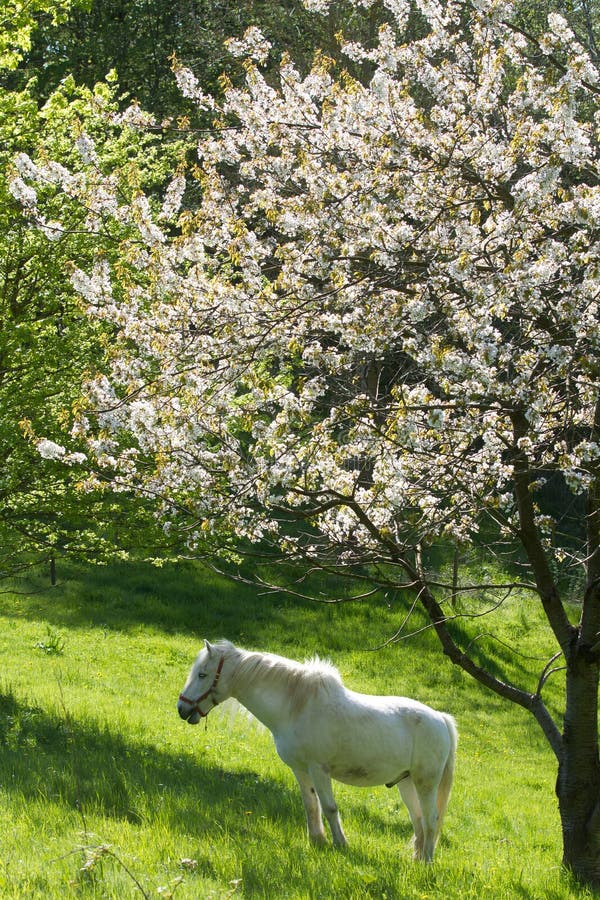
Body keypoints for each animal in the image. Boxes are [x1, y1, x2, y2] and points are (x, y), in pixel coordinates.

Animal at [177, 640, 457, 861]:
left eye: (202, 674)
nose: (182, 708)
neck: (297, 706)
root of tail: (441, 719)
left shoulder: (318, 769)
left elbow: (329, 807)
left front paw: (340, 844)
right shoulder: (301, 770)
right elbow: (311, 805)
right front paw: (317, 841)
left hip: (425, 784)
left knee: (431, 821)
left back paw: (426, 862)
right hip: (406, 783)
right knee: (418, 821)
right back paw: (416, 860)